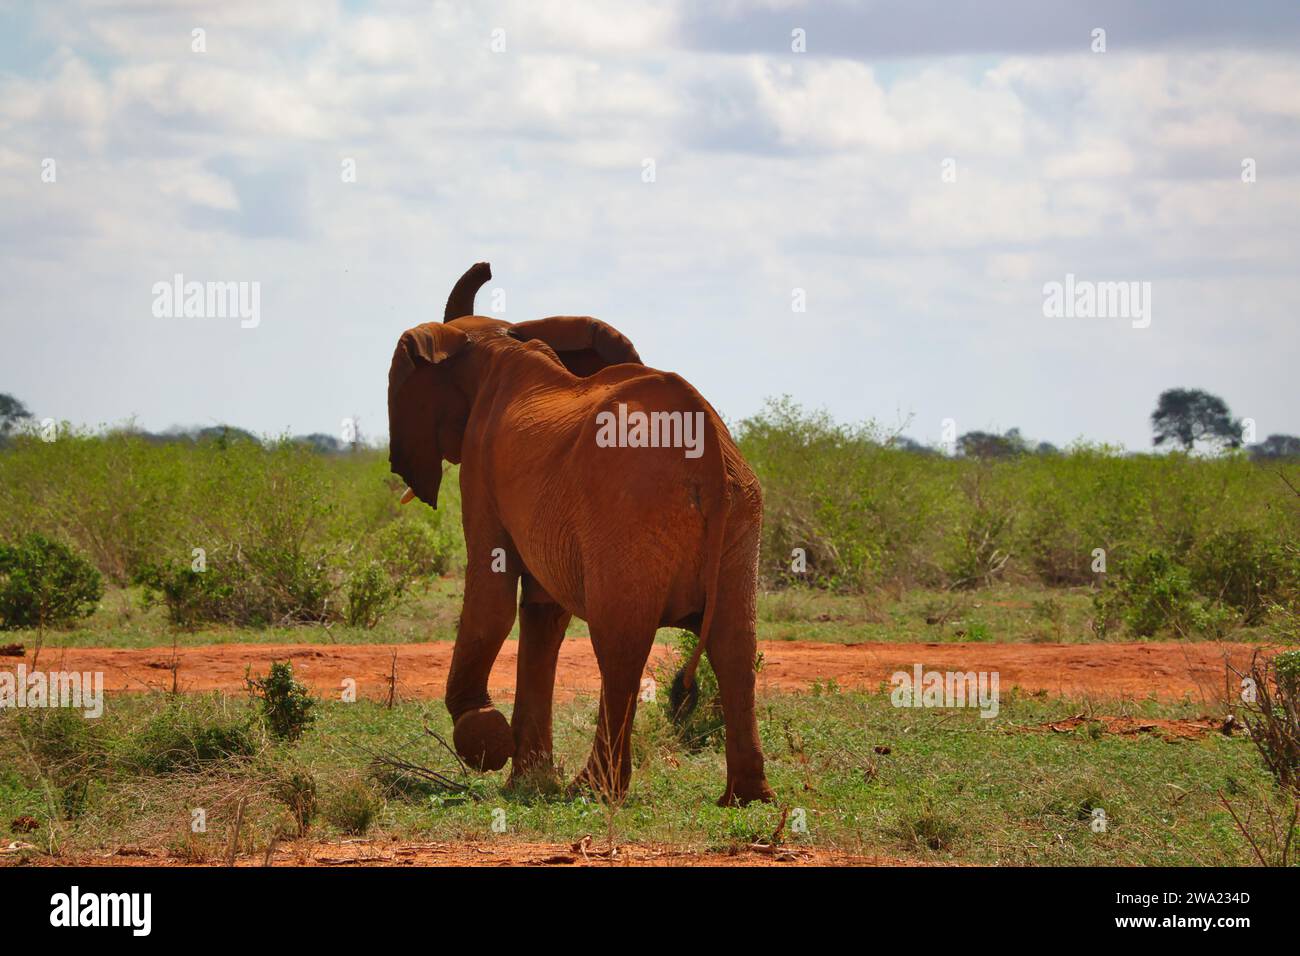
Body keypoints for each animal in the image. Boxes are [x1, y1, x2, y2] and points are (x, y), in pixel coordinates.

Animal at [387, 262, 774, 806]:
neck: (500, 338)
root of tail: (712, 459)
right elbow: (542, 612)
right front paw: (524, 778)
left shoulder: (480, 469)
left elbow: (492, 597)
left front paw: (487, 742)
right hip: (742, 516)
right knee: (735, 647)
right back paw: (746, 798)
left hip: (630, 519)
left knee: (620, 649)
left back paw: (591, 790)